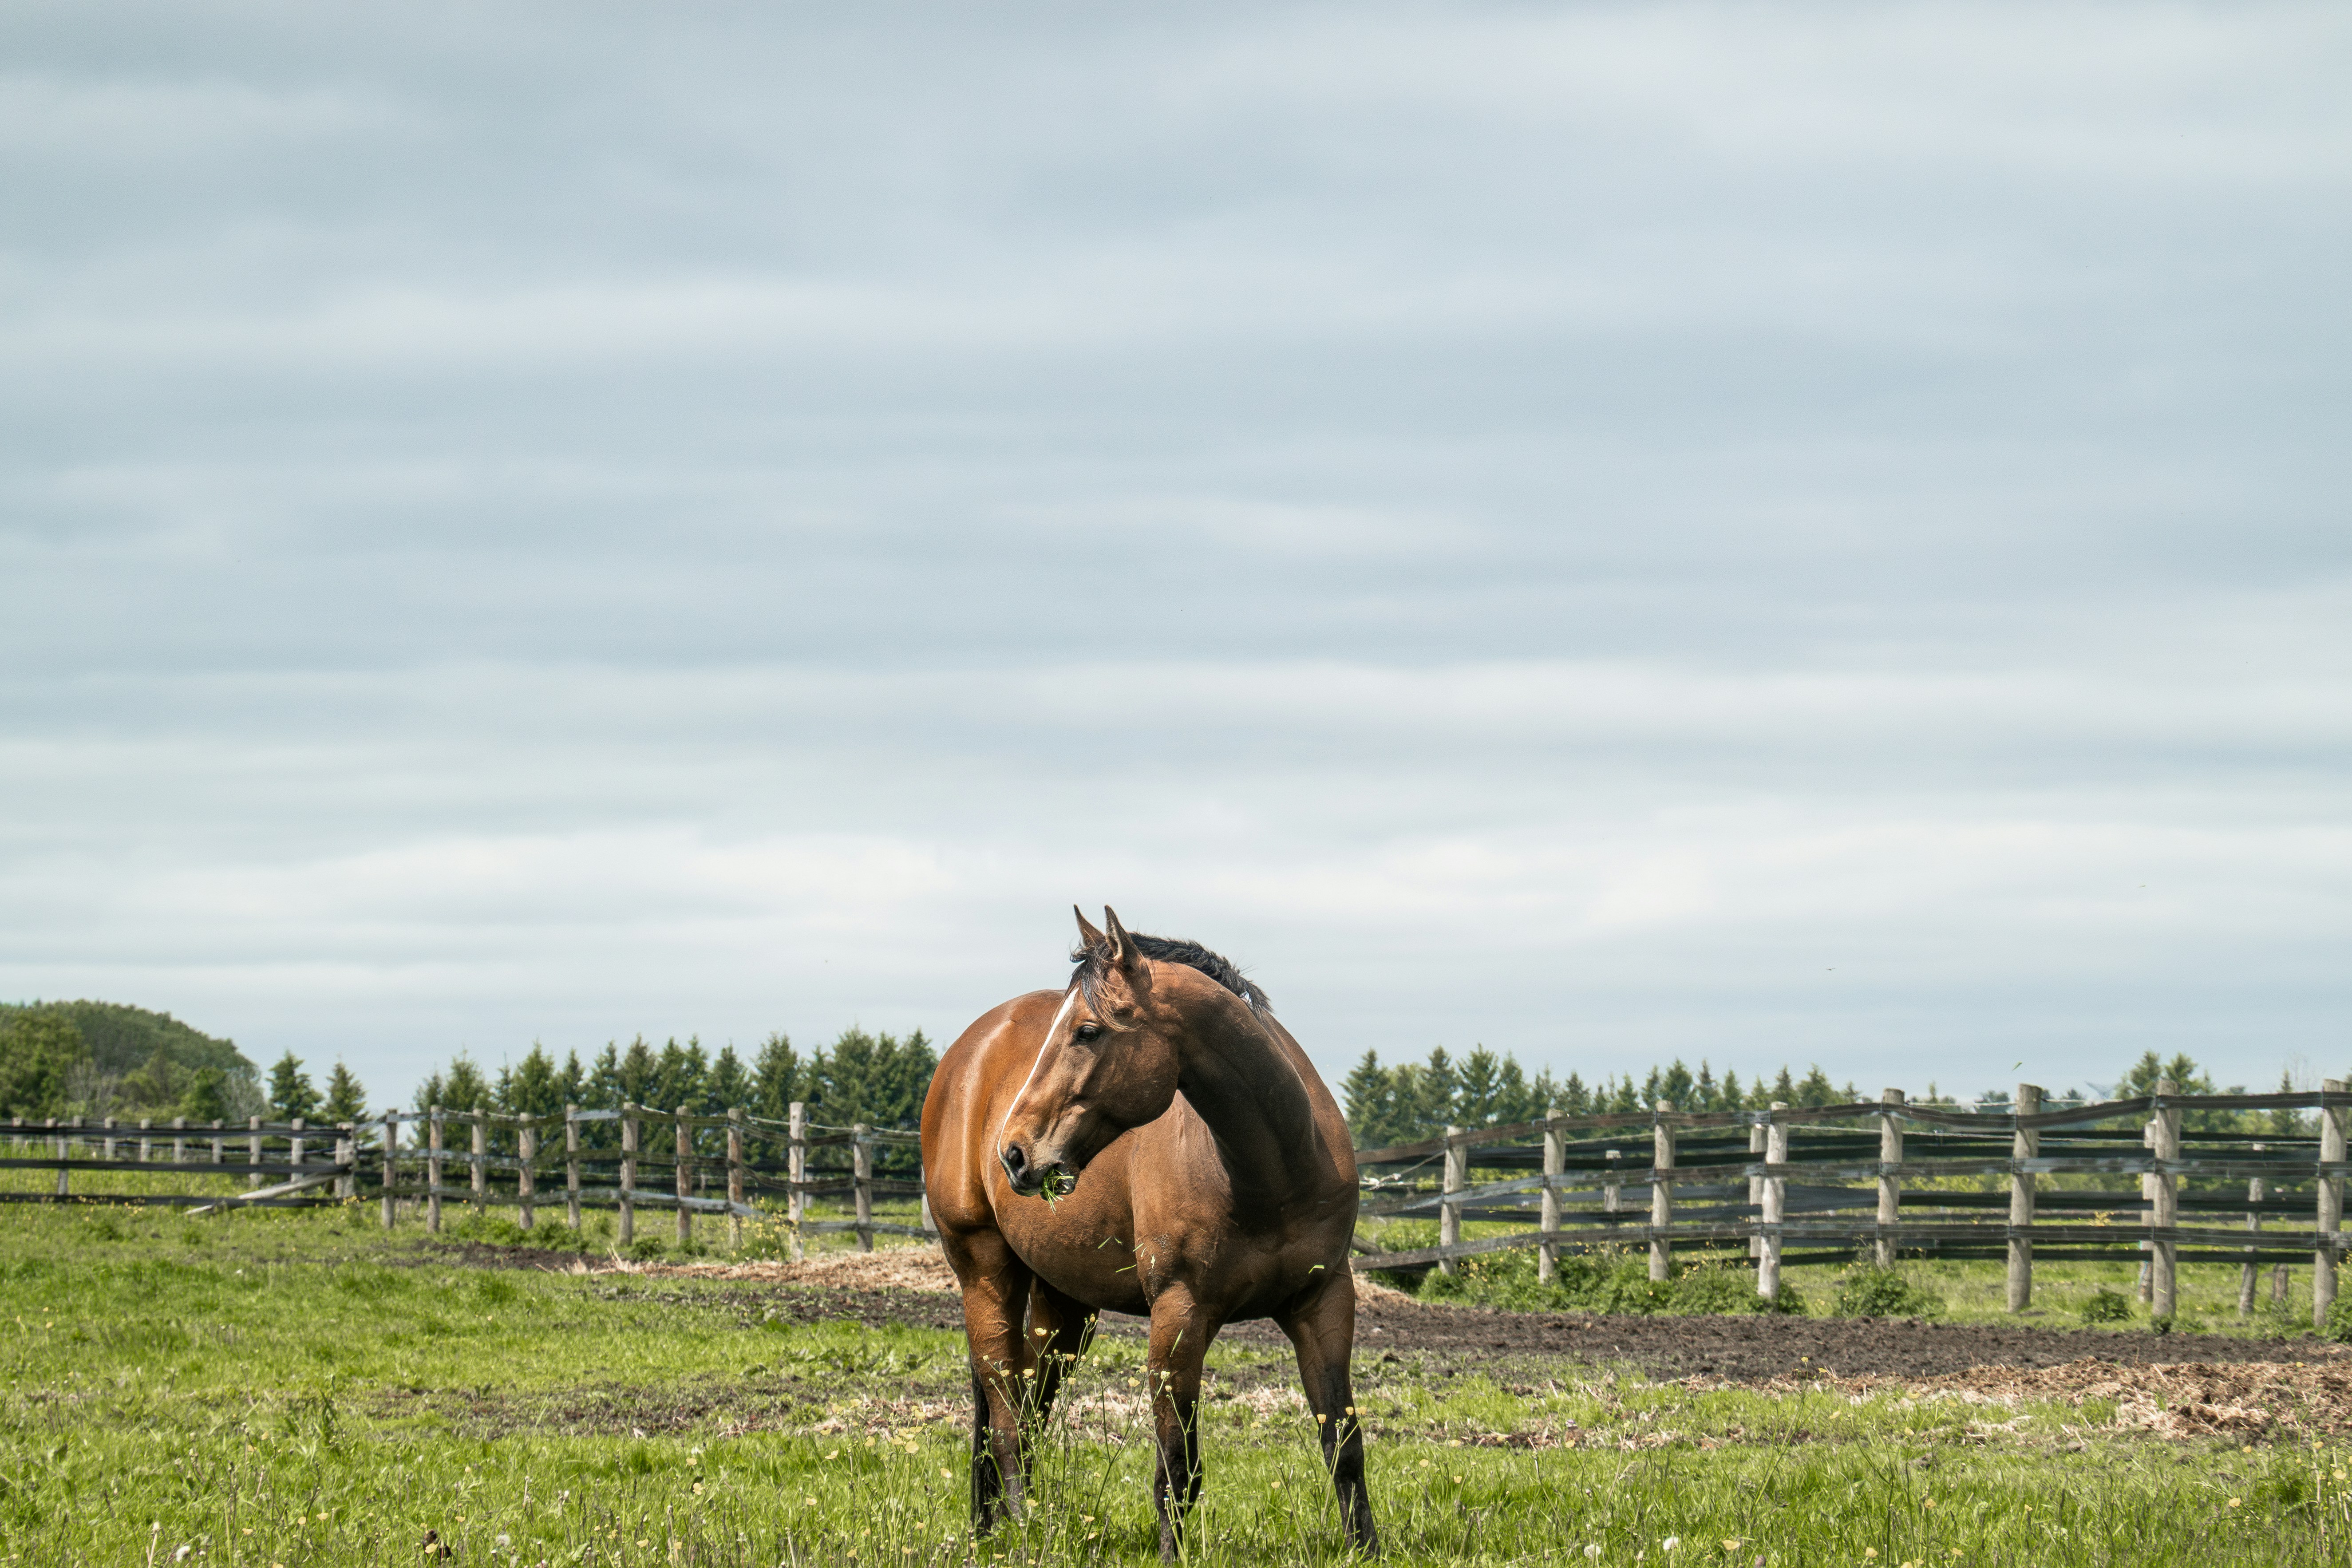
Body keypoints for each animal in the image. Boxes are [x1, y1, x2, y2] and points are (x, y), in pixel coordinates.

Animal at [920, 907, 1377, 1559]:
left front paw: (1367, 1548)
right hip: (985, 1272)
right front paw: (1171, 1552)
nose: (1013, 1152)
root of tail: (967, 1053)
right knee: (1005, 1416)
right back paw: (1026, 1532)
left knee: (1028, 1408)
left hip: (1064, 1306)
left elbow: (1343, 1444)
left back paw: (999, 1525)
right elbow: (1177, 1465)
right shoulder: (1178, 1315)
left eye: (1087, 1031)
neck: (1270, 1171)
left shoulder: (1324, 1302)